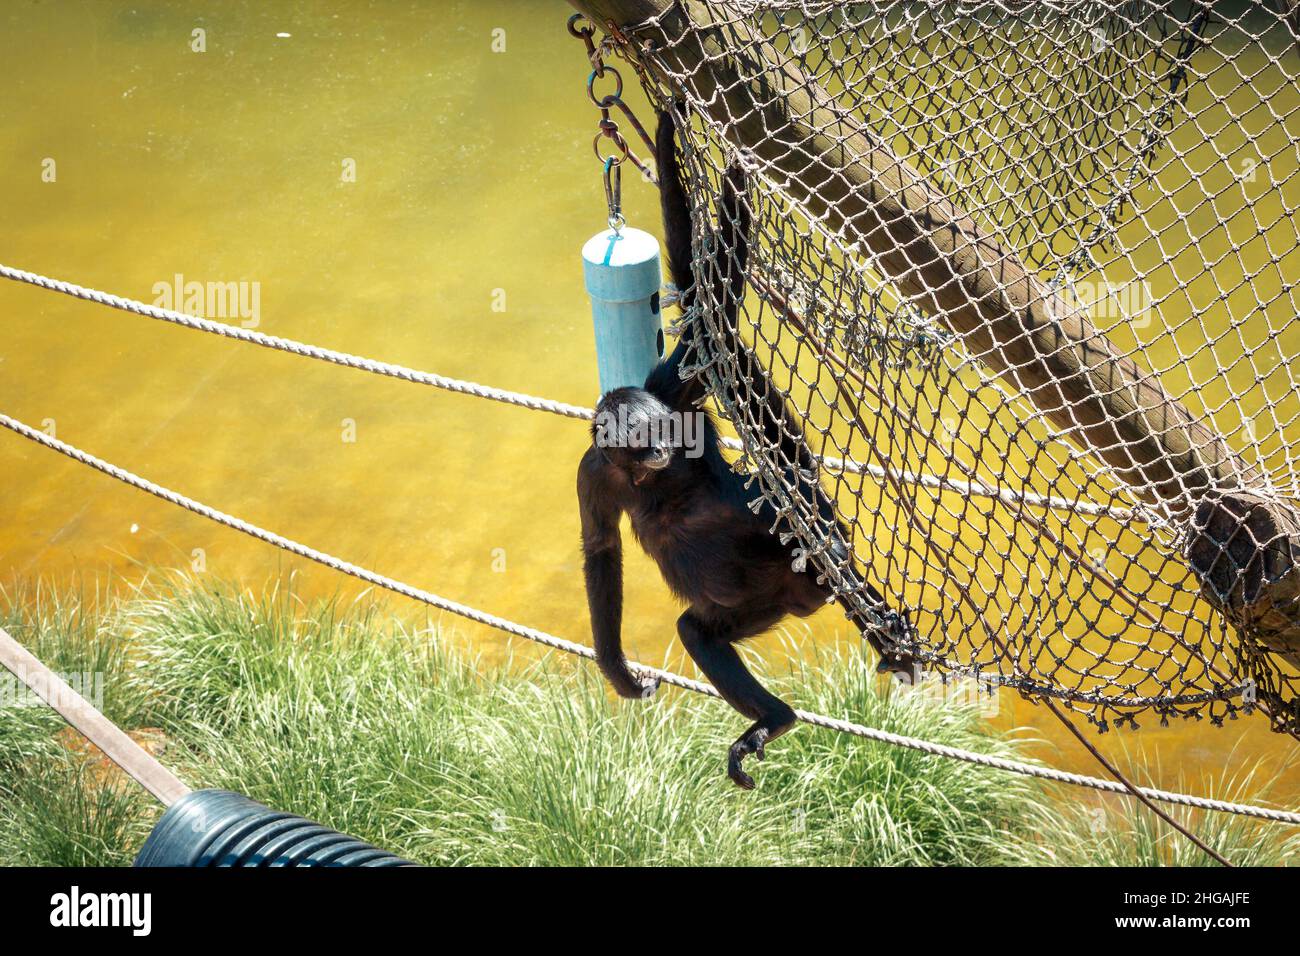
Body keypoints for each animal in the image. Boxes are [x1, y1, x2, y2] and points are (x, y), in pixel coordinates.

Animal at [578, 107, 915, 789]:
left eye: (661, 436)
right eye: (639, 444)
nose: (659, 454)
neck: (646, 476)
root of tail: (797, 595)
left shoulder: (672, 394)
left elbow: (717, 327)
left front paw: (684, 133)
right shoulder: (595, 469)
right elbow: (600, 545)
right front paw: (616, 670)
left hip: (789, 566)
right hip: (753, 606)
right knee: (698, 631)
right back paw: (775, 719)